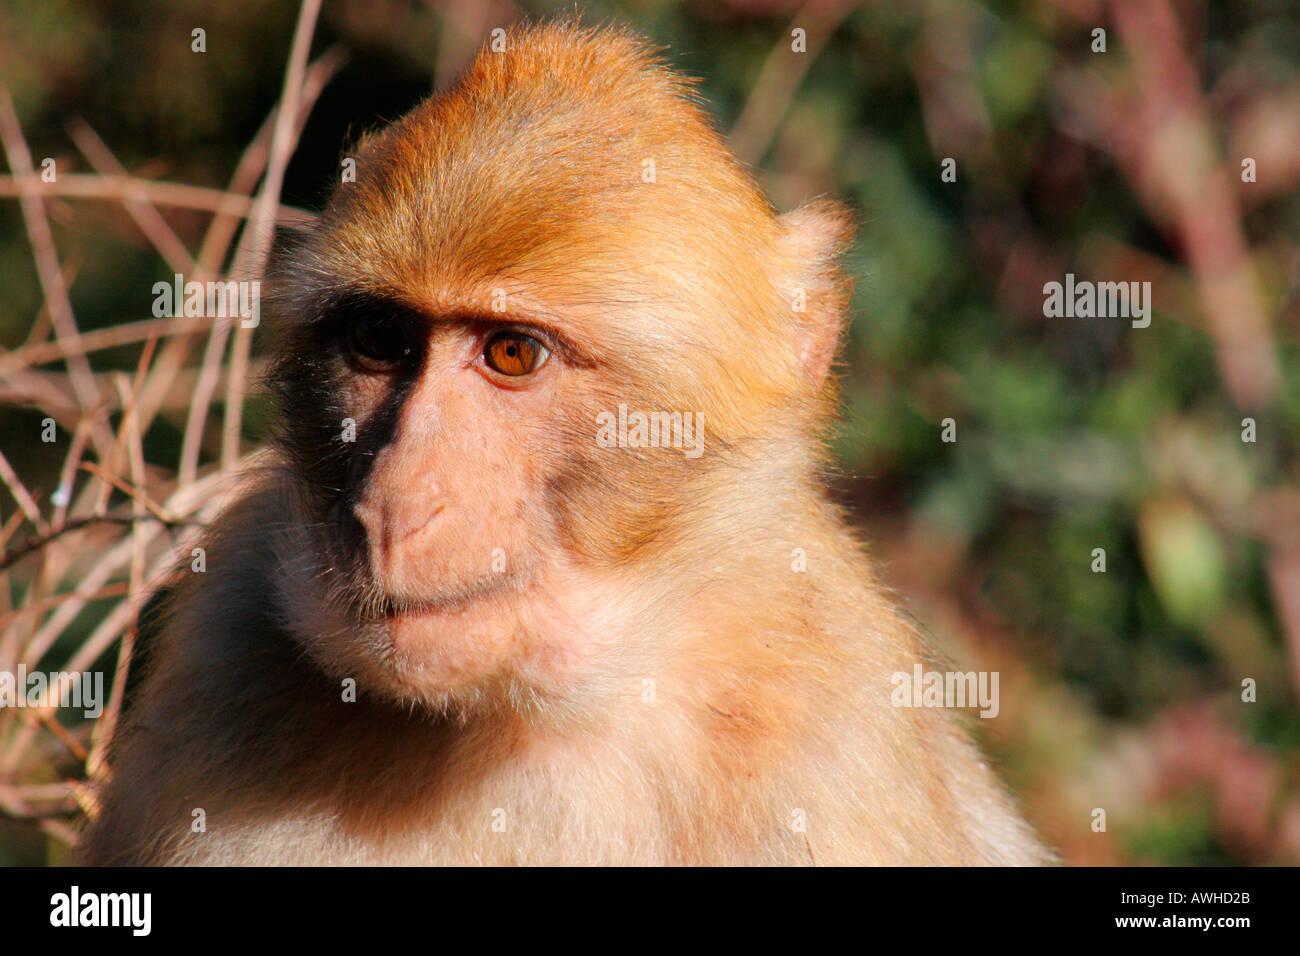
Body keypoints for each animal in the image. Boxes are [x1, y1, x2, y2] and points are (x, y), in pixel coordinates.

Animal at [76, 20, 1051, 866]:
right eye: (380, 340)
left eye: (514, 353)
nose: (396, 501)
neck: (541, 714)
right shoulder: (230, 649)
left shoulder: (836, 737)